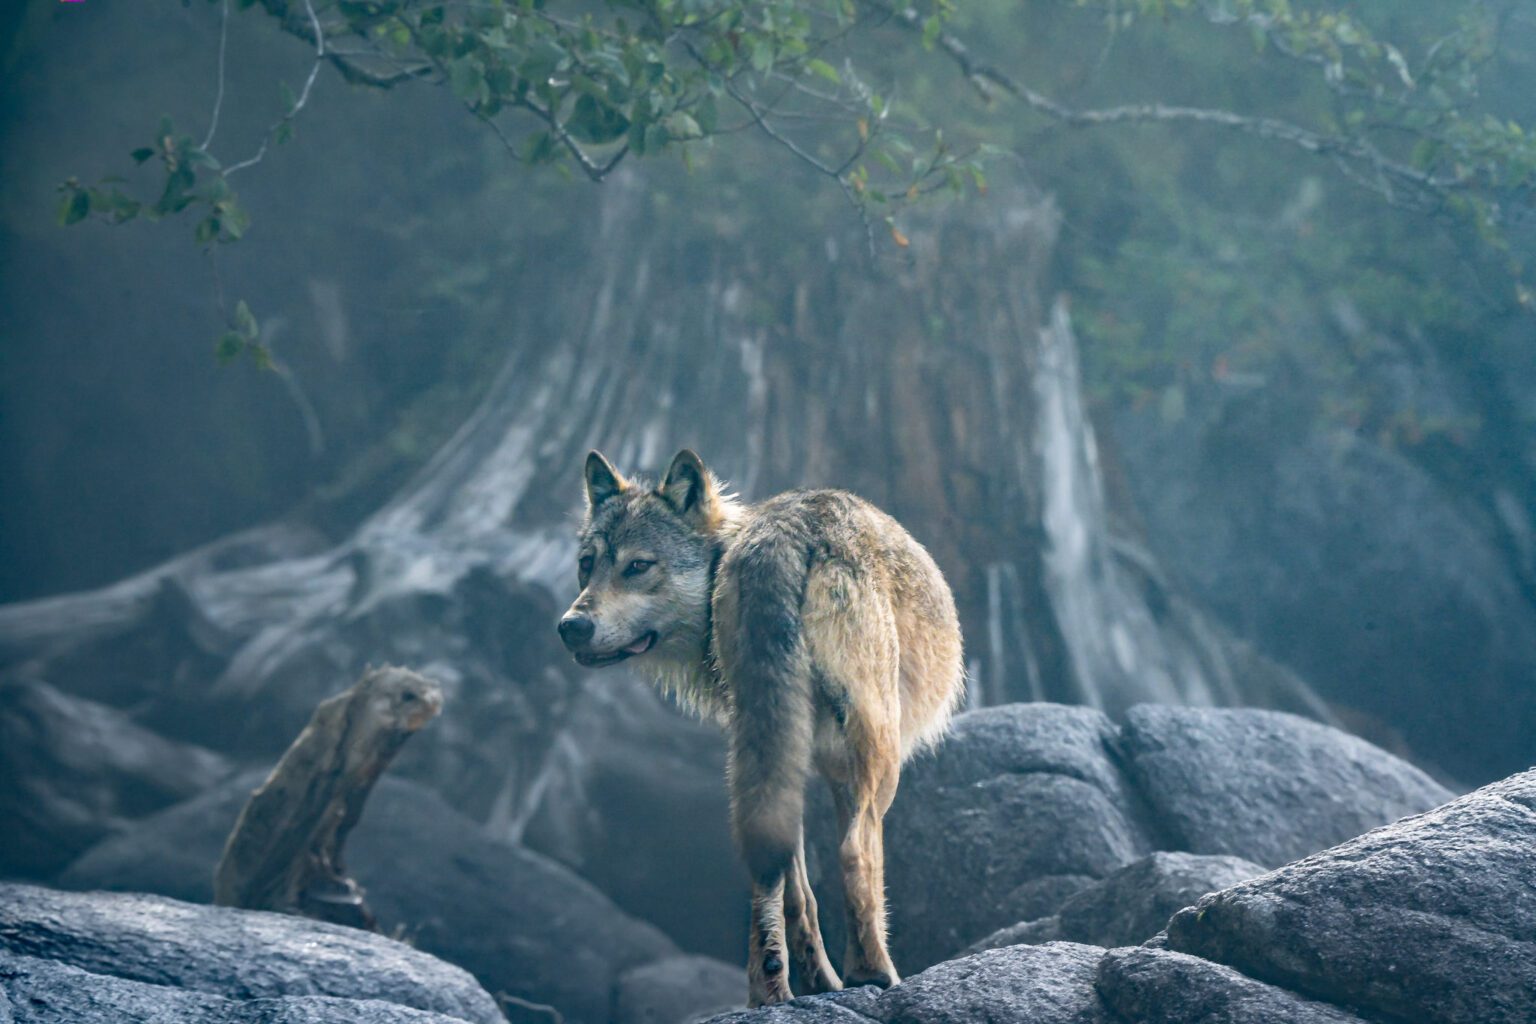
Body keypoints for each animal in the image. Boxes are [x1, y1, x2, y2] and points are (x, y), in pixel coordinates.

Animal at [557, 448, 964, 1006]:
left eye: (636, 566)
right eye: (588, 564)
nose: (570, 627)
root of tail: (779, 537)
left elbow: (797, 889)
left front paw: (811, 981)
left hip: (763, 748)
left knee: (769, 871)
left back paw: (771, 992)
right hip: (880, 759)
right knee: (855, 853)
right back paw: (874, 974)